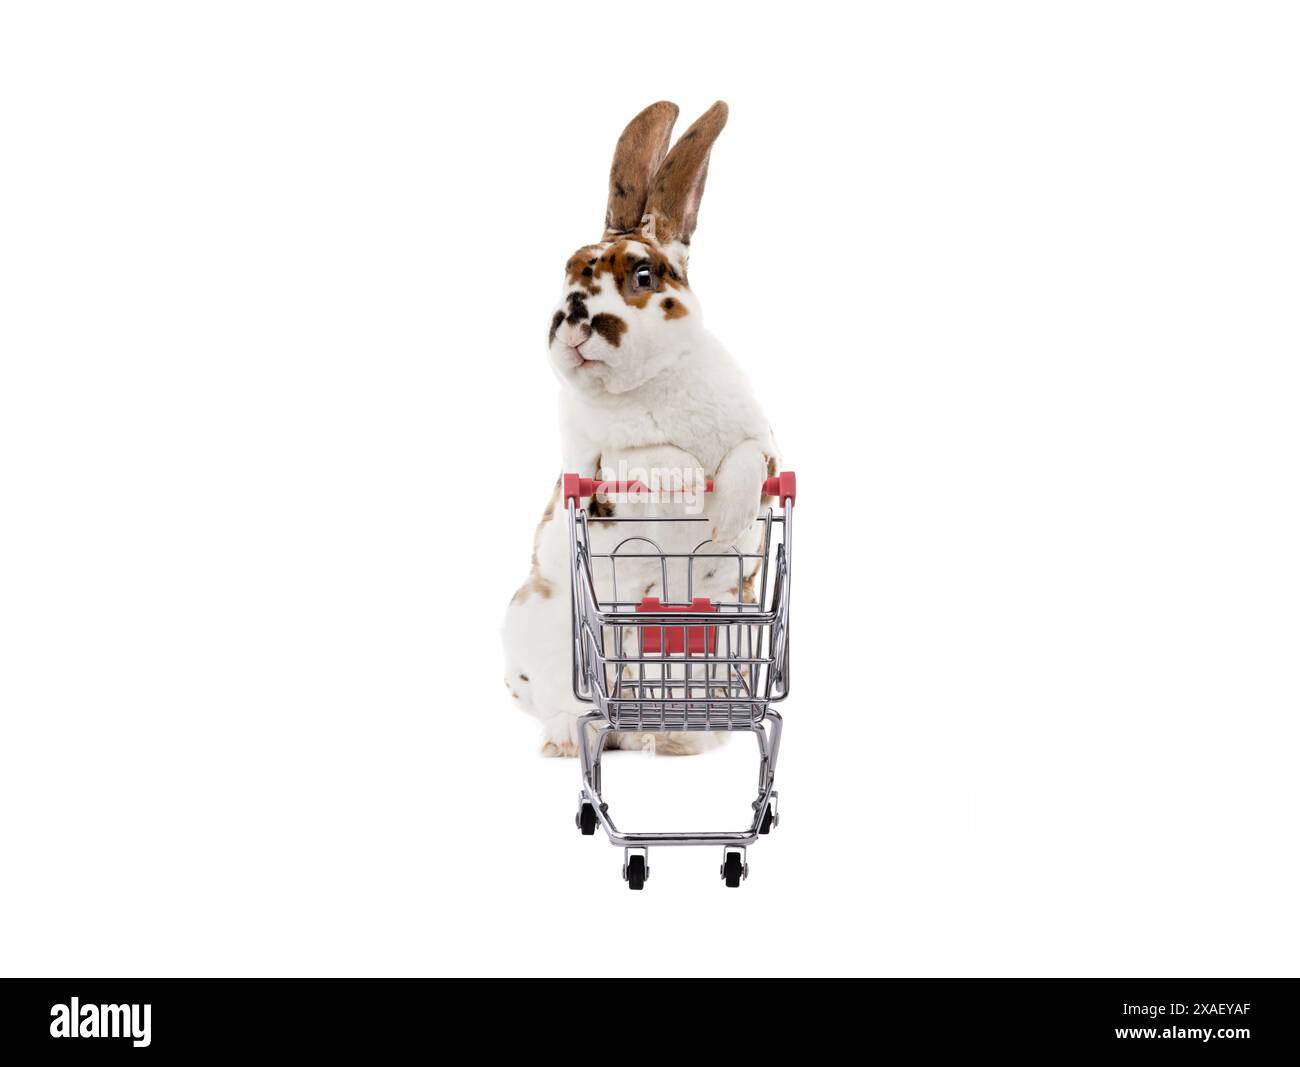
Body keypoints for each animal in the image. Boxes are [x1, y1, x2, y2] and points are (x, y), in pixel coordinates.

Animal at [502, 100, 780, 757]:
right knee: (564, 704)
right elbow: (650, 454)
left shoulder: (767, 449)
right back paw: (570, 738)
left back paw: (684, 738)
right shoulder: (596, 470)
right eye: (567, 272)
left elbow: (746, 461)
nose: (571, 324)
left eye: (645, 275)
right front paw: (687, 481)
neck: (652, 383)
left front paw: (725, 513)